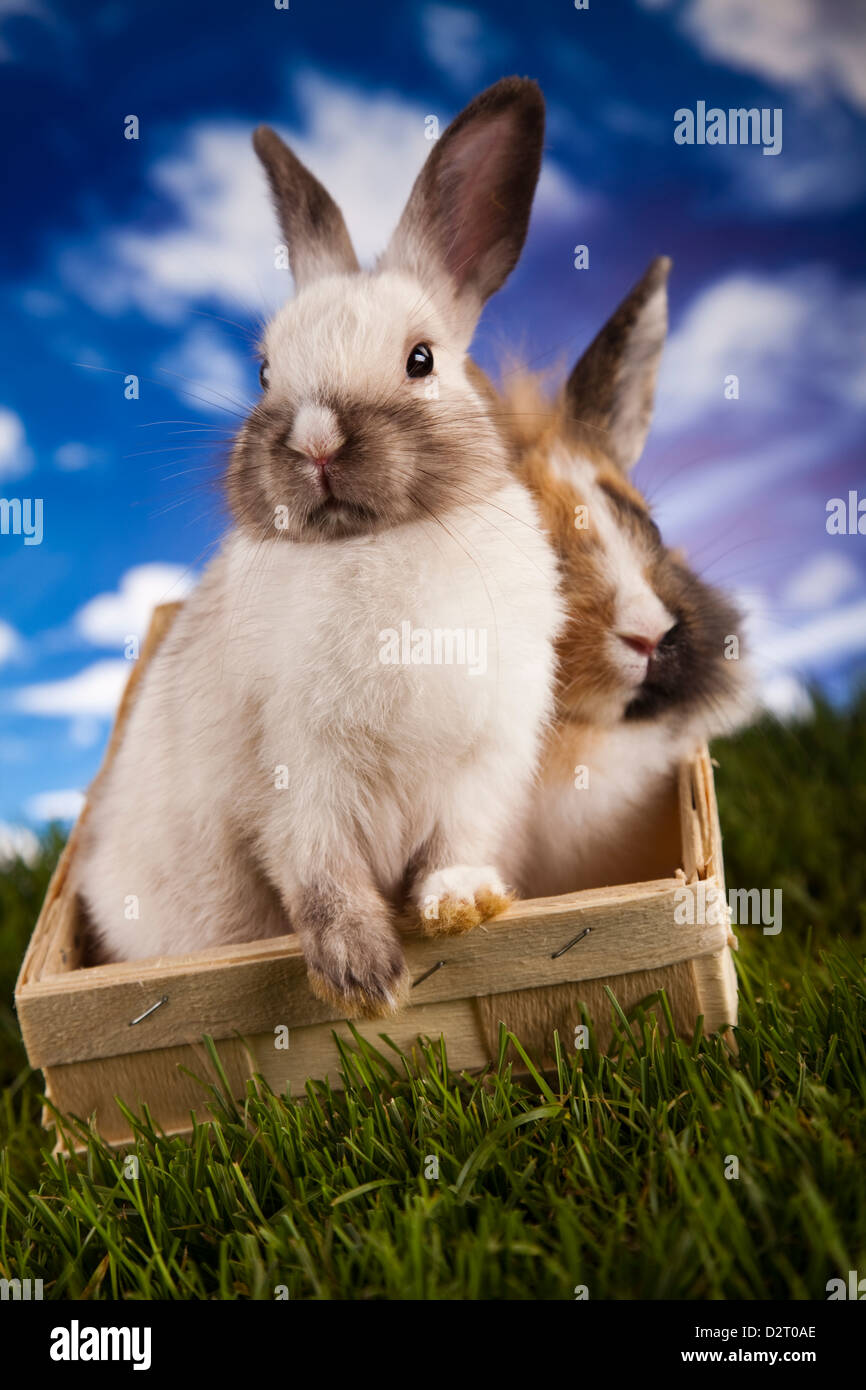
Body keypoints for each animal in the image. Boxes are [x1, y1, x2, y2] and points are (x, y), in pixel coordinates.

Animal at [74, 77, 565, 1018]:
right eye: (265, 370)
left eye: (422, 359)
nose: (314, 441)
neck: (371, 543)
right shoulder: (298, 782)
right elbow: (322, 874)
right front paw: (366, 983)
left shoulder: (481, 767)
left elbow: (455, 844)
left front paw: (459, 907)